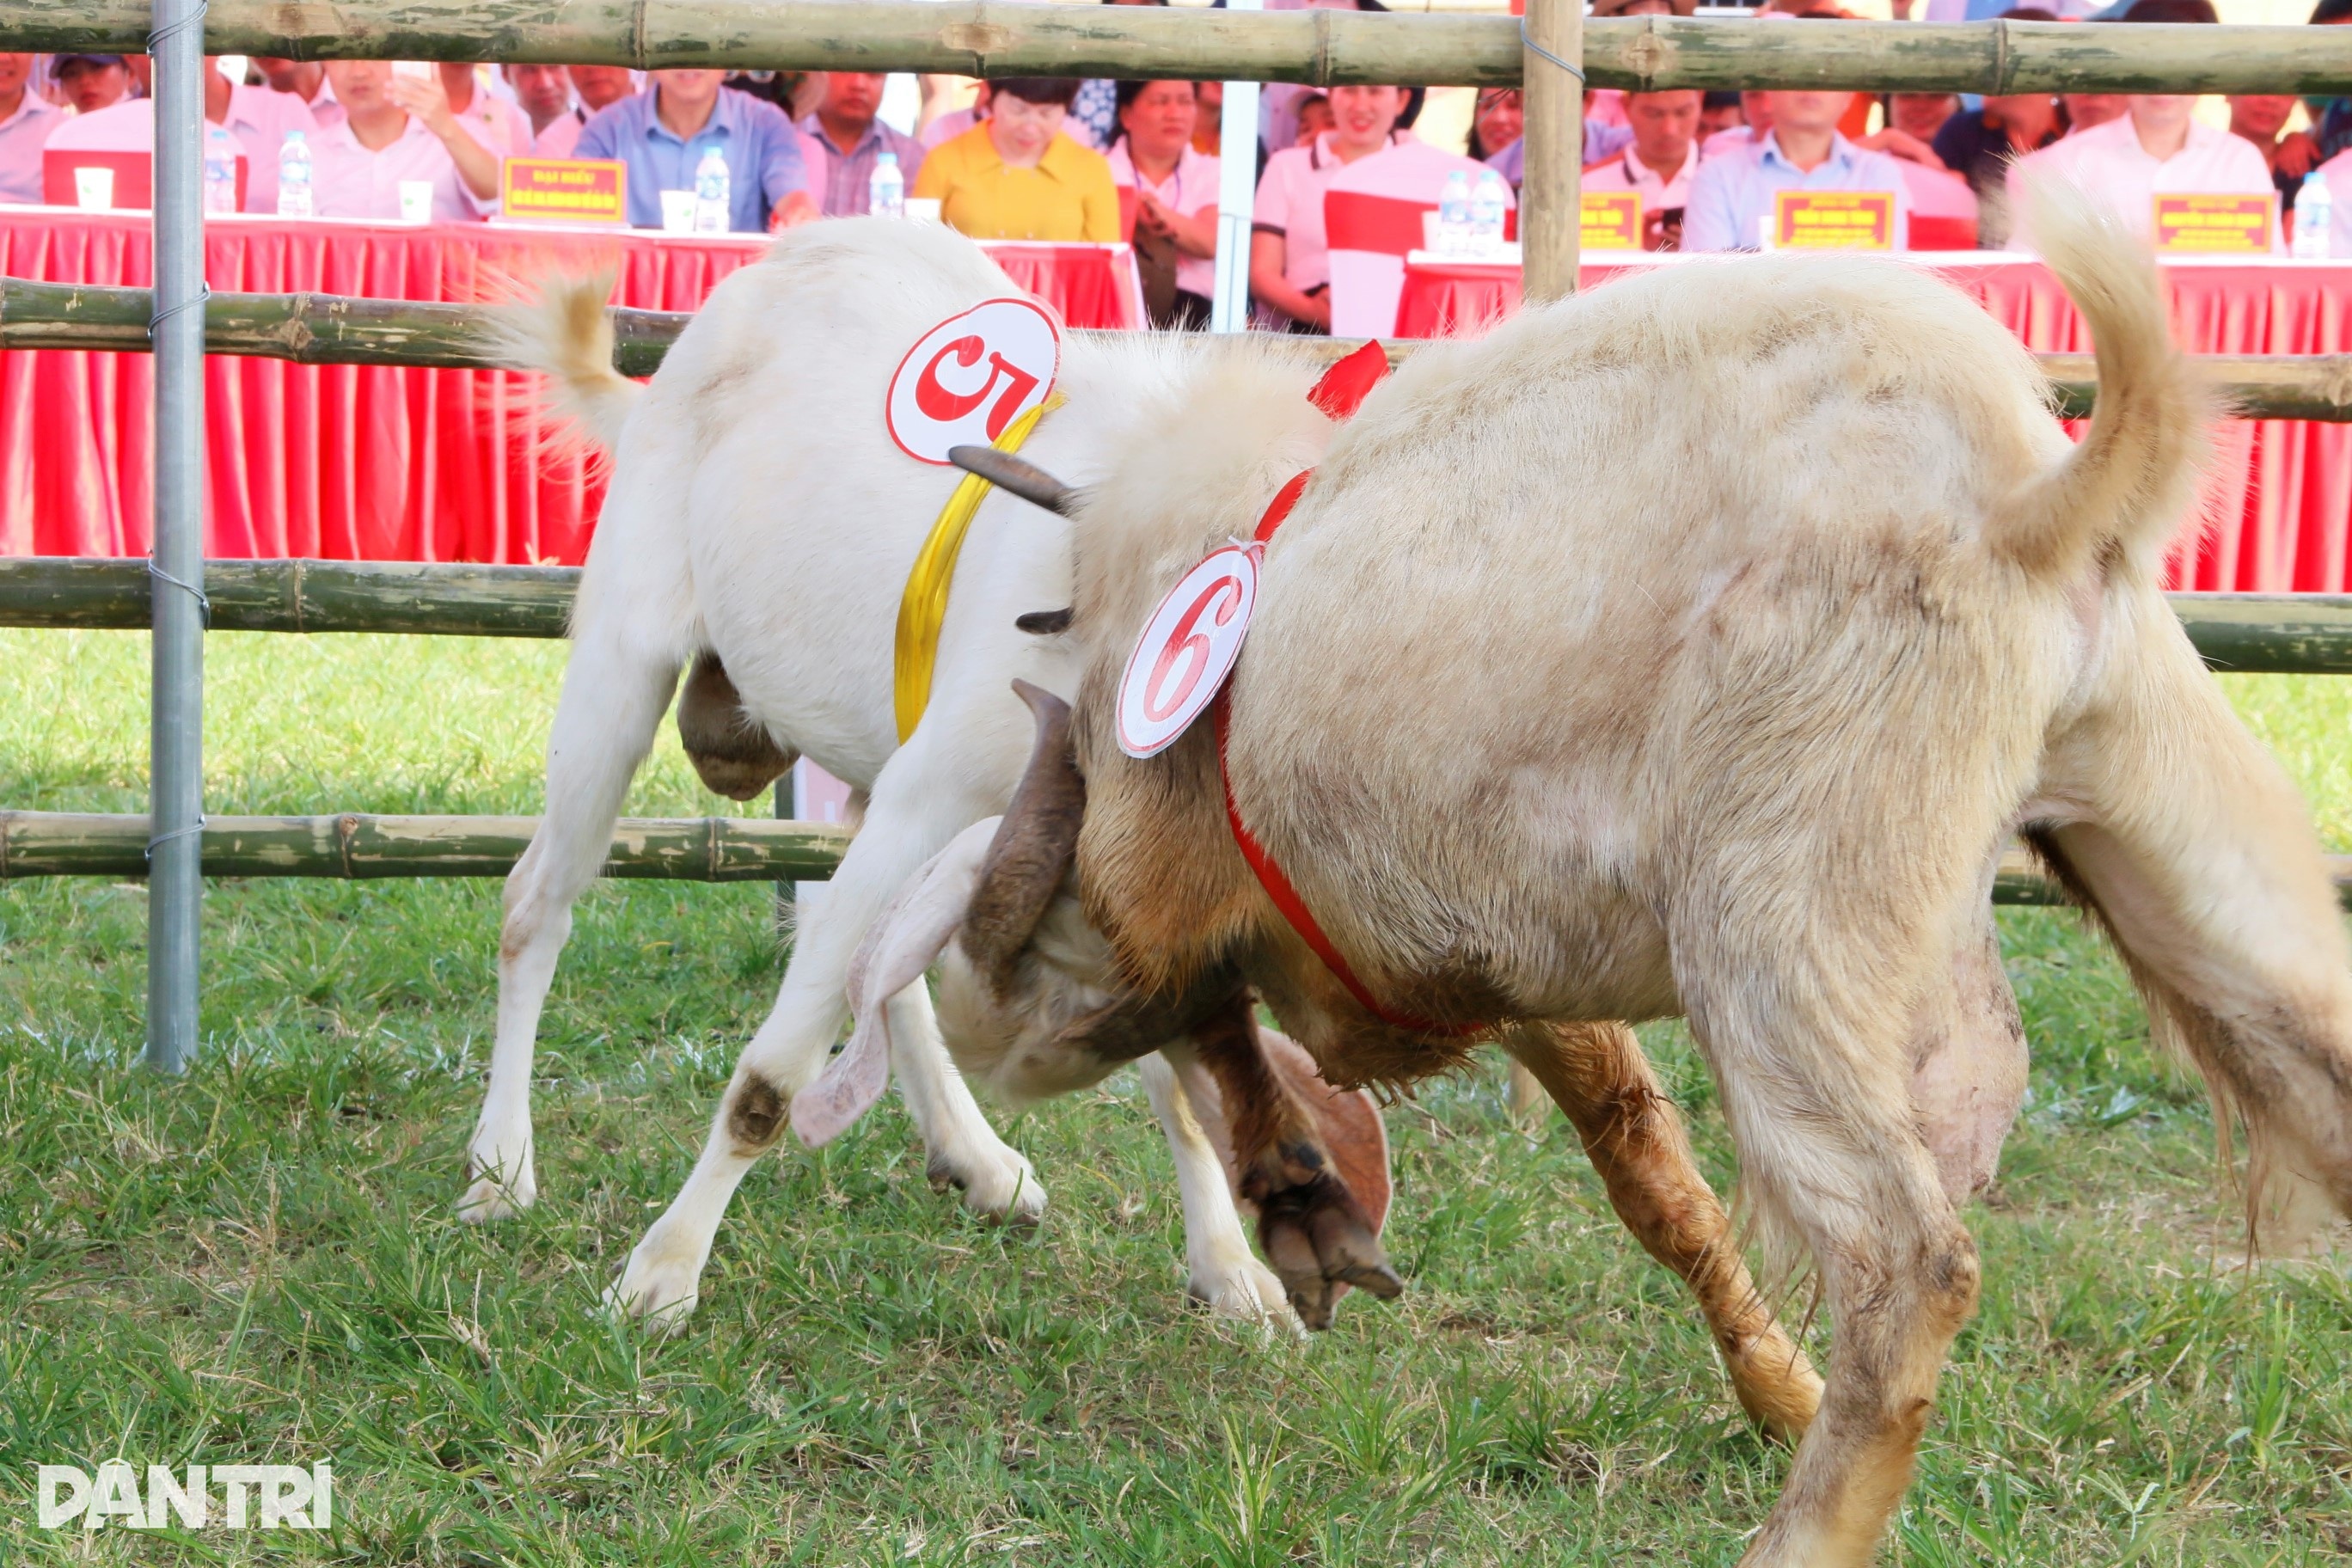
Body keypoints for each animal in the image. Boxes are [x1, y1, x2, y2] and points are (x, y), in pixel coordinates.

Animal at [912, 187, 2351, 1563]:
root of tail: (2024, 496)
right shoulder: (1492, 958)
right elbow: (1650, 1172)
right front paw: (1765, 1386)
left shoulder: (1164, 895)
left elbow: (1180, 1007)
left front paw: (1296, 1202)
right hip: (2169, 819)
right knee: (2315, 1076)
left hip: (1783, 914)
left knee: (1911, 1264)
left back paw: (1795, 1539)